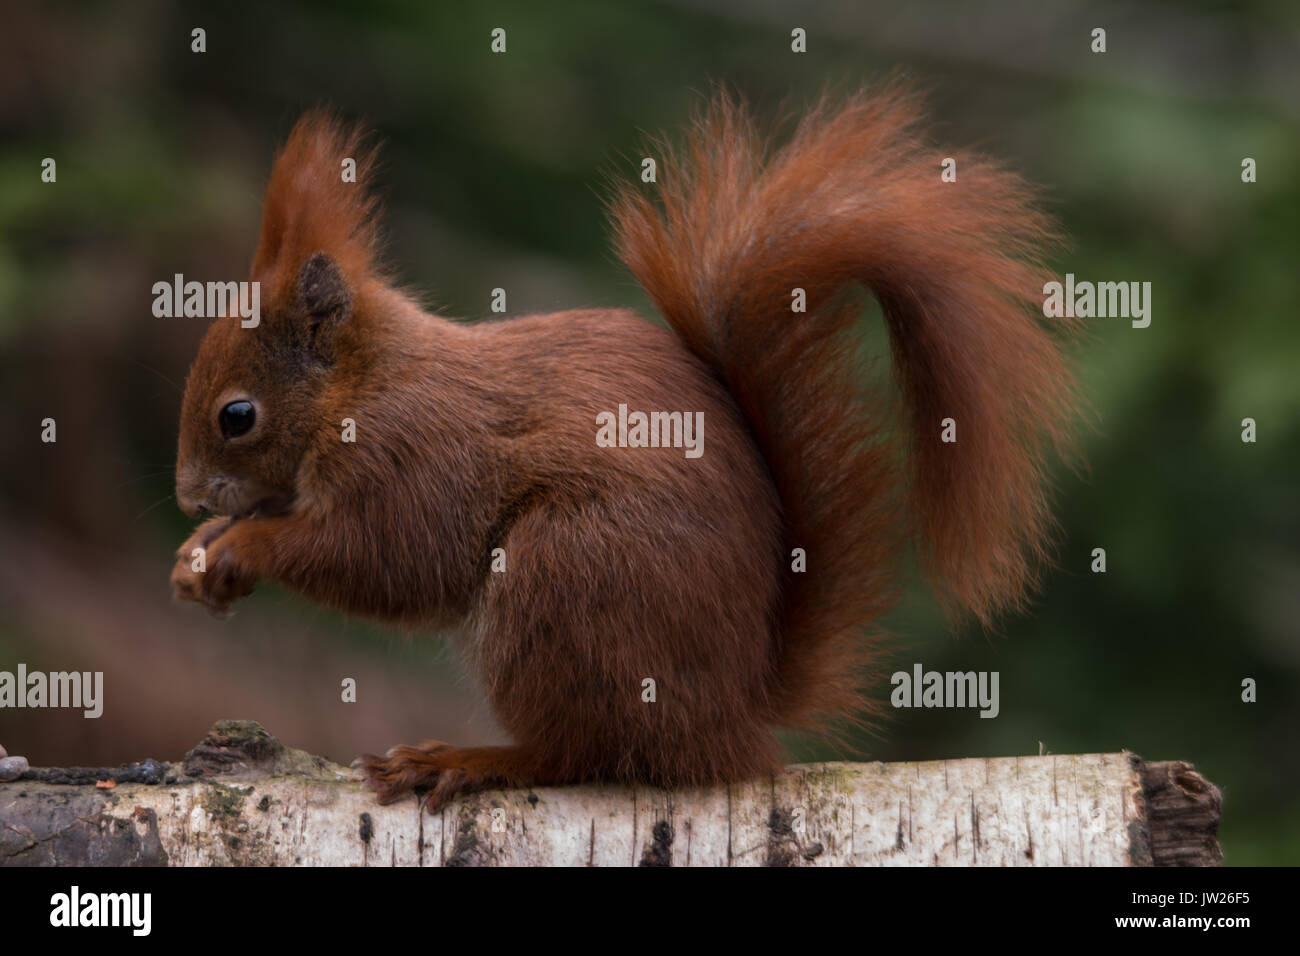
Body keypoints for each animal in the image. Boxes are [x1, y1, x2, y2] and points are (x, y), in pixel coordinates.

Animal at [170, 84, 1079, 812]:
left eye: (237, 415)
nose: (187, 496)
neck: (362, 388)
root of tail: (734, 715)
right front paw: (198, 552)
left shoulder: (412, 454)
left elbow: (385, 558)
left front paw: (241, 547)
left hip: (566, 578)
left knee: (586, 752)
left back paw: (472, 759)